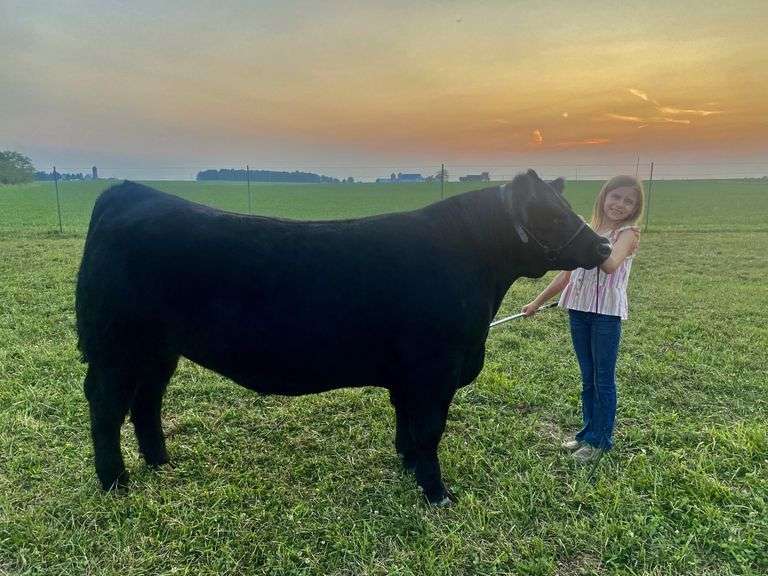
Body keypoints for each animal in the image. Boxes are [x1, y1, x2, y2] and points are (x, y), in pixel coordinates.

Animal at [76, 169, 610, 505]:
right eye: (552, 215)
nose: (604, 245)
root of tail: (130, 193)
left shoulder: (410, 376)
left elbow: (408, 425)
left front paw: (408, 466)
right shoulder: (434, 370)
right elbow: (429, 429)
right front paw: (437, 494)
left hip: (158, 350)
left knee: (146, 403)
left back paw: (160, 463)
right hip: (115, 349)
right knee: (106, 410)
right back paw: (116, 483)